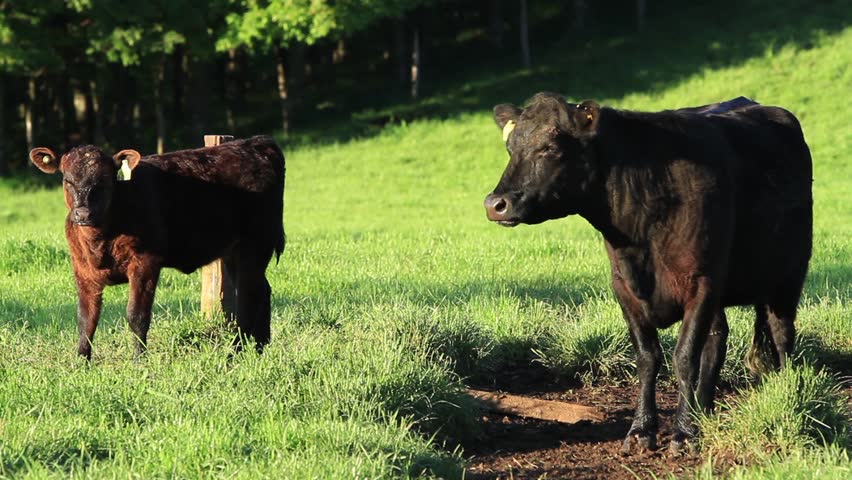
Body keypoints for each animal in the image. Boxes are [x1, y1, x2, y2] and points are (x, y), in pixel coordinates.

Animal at [29, 135, 285, 360]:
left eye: (104, 180)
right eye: (67, 180)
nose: (83, 213)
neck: (101, 241)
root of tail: (256, 143)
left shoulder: (145, 264)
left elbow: (137, 315)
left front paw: (139, 361)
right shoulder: (83, 272)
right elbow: (86, 319)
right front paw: (82, 363)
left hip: (254, 245)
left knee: (248, 297)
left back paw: (235, 354)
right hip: (234, 252)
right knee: (262, 291)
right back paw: (260, 347)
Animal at [484, 93, 812, 454]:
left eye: (550, 147)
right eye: (511, 147)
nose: (495, 204)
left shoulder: (701, 283)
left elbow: (684, 356)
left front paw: (683, 433)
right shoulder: (623, 287)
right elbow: (647, 357)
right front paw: (642, 429)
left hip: (788, 274)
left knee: (781, 334)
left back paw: (781, 388)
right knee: (718, 338)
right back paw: (703, 409)